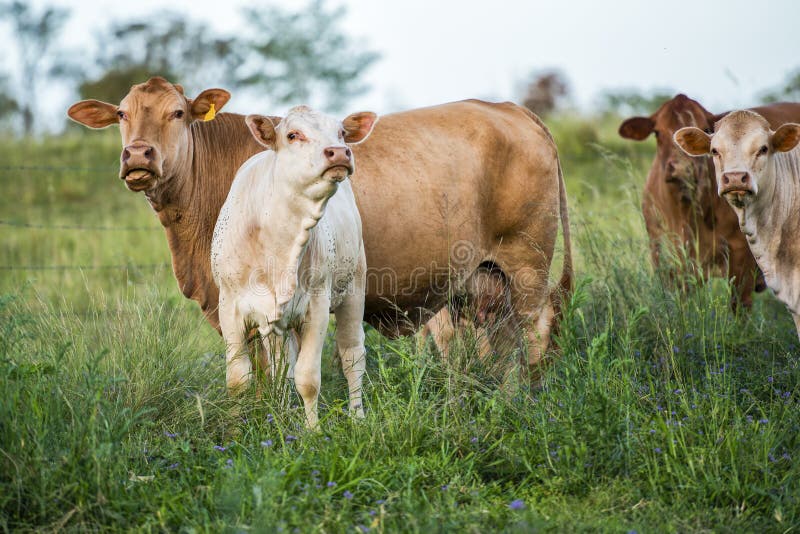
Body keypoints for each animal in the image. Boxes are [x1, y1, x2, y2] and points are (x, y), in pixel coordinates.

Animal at [67, 77, 573, 382]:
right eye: (122, 114)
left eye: (177, 113)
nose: (138, 154)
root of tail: (507, 108)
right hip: (482, 281)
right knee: (496, 342)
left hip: (526, 263)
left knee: (533, 330)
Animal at [212, 106, 376, 428]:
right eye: (292, 135)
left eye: (341, 132)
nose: (339, 152)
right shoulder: (230, 308)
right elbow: (239, 380)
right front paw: (233, 431)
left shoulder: (317, 307)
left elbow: (308, 378)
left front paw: (312, 431)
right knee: (281, 367)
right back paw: (282, 412)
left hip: (354, 288)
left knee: (352, 355)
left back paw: (357, 416)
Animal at [619, 94, 800, 308]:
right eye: (657, 132)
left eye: (706, 128)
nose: (682, 168)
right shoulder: (661, 253)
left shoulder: (741, 254)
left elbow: (739, 303)